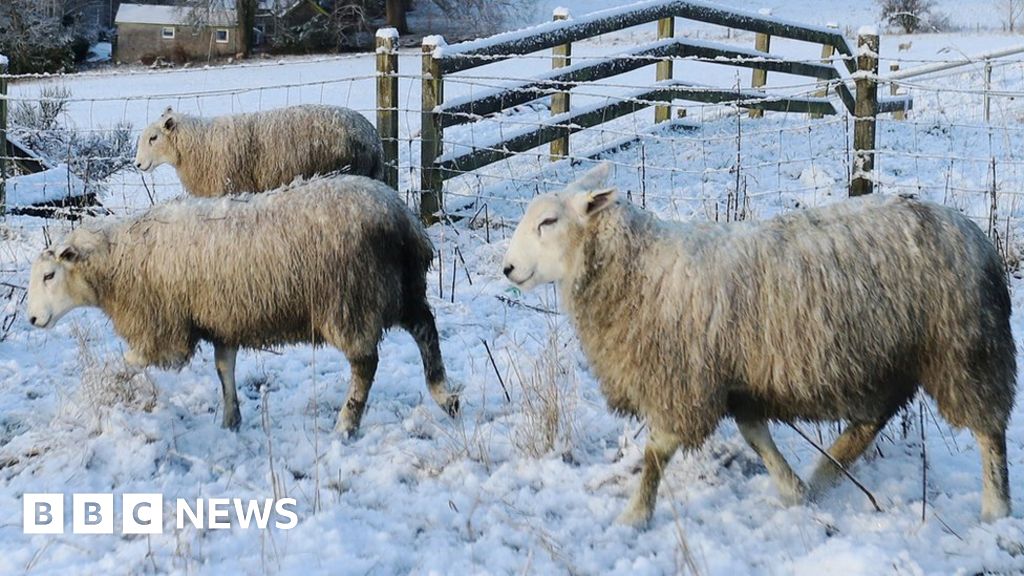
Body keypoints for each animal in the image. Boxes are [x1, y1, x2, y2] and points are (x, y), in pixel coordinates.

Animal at [26, 175, 459, 435]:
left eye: (49, 275)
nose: (31, 319)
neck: (117, 263)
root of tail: (403, 220)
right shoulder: (223, 318)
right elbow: (224, 369)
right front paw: (231, 419)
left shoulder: (165, 327)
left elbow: (129, 361)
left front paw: (104, 384)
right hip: (400, 289)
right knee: (426, 329)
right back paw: (444, 395)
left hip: (351, 298)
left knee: (366, 364)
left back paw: (346, 423)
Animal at [502, 163, 1016, 526]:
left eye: (548, 221)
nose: (507, 269)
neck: (641, 269)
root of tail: (976, 236)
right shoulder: (737, 376)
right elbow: (755, 435)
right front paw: (792, 490)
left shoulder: (683, 381)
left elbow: (655, 454)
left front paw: (634, 516)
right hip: (889, 356)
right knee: (874, 417)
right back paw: (825, 472)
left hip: (963, 347)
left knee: (988, 429)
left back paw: (996, 508)